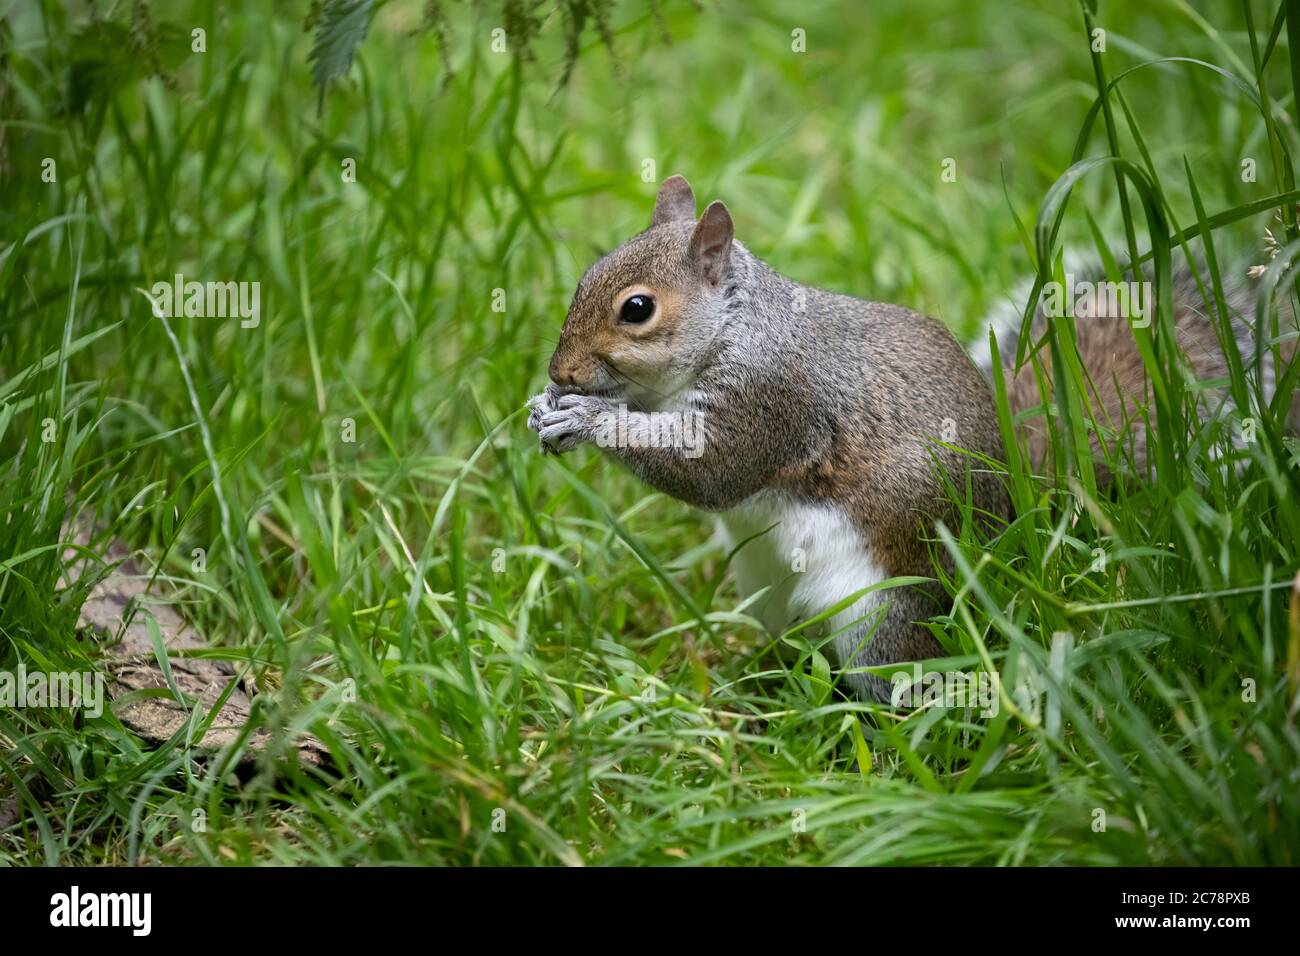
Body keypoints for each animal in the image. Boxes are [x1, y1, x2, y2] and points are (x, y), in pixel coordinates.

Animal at [528, 174, 1298, 701]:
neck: (731, 328)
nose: (559, 371)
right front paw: (547, 409)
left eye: (637, 308)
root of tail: (1016, 529)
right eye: (584, 276)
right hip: (765, 587)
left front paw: (587, 419)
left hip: (885, 611)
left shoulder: (773, 399)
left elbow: (710, 471)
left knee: (900, 678)